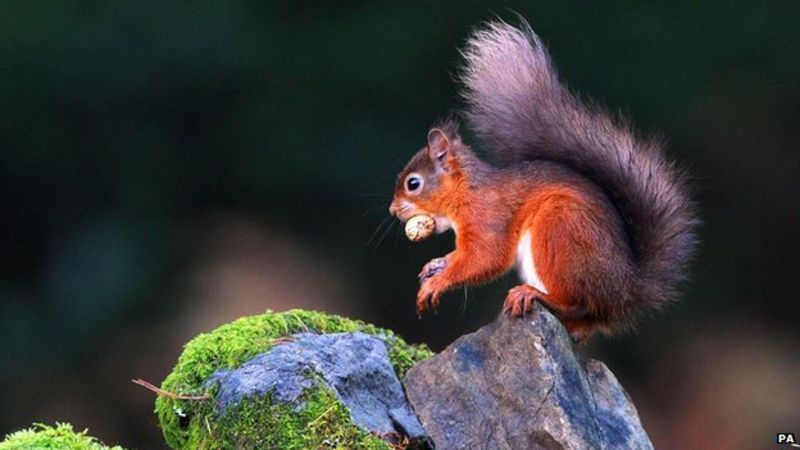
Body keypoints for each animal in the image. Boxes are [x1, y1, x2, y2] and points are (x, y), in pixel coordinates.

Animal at [388, 21, 698, 341]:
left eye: (413, 183)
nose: (393, 211)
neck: (467, 191)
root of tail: (625, 290)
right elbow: (461, 257)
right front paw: (436, 264)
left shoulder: (488, 217)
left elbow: (485, 258)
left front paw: (438, 282)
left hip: (560, 228)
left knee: (574, 301)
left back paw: (534, 294)